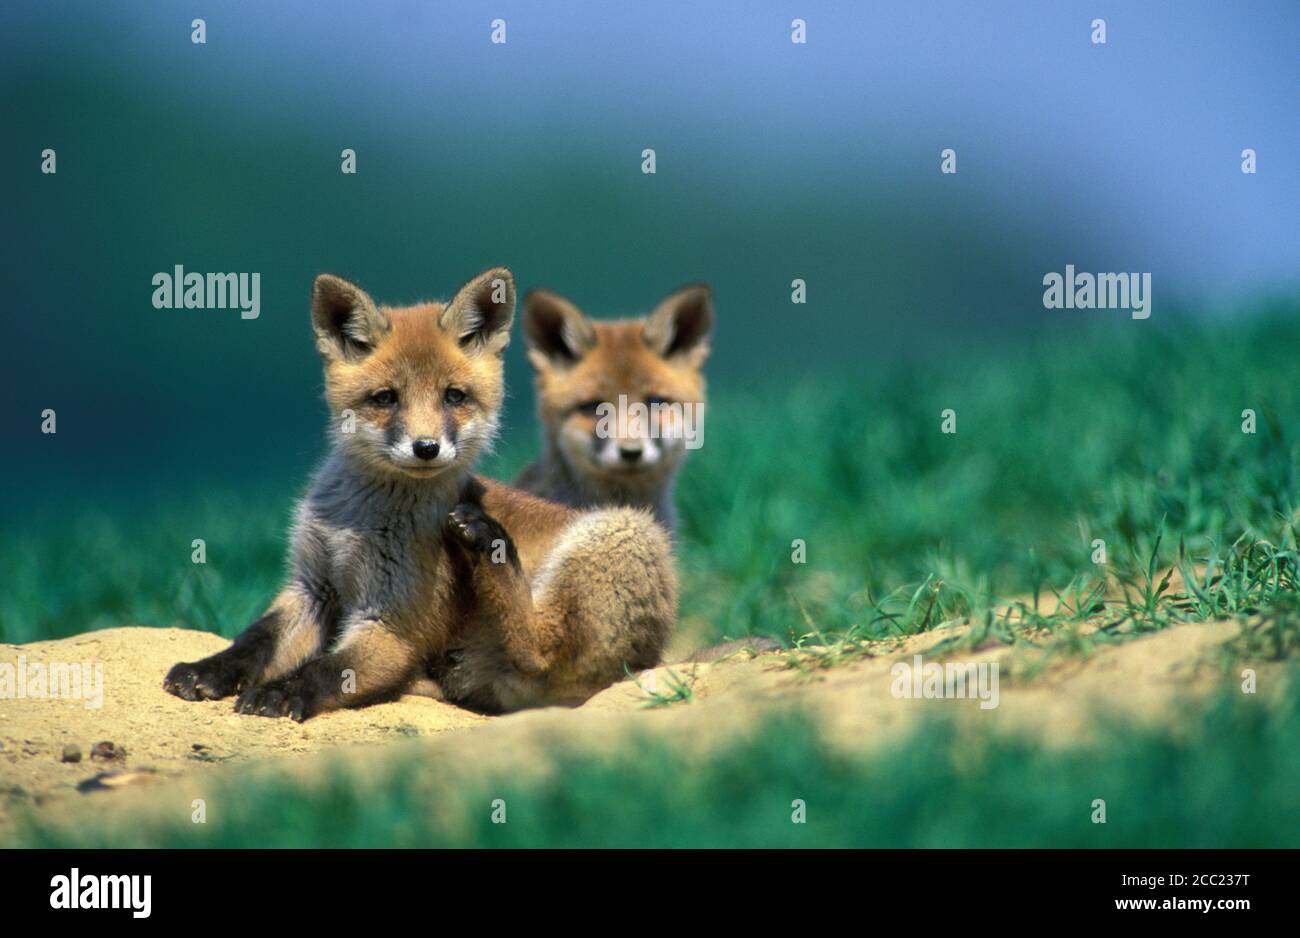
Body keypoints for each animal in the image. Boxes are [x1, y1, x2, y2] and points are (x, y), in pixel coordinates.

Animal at [163, 267, 677, 719]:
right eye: (386, 398)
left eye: (454, 397)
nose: (426, 448)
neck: (358, 525)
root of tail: (654, 653)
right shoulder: (312, 589)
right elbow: (255, 640)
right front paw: (207, 672)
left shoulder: (393, 627)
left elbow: (326, 670)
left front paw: (279, 693)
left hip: (620, 530)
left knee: (539, 649)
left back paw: (489, 541)